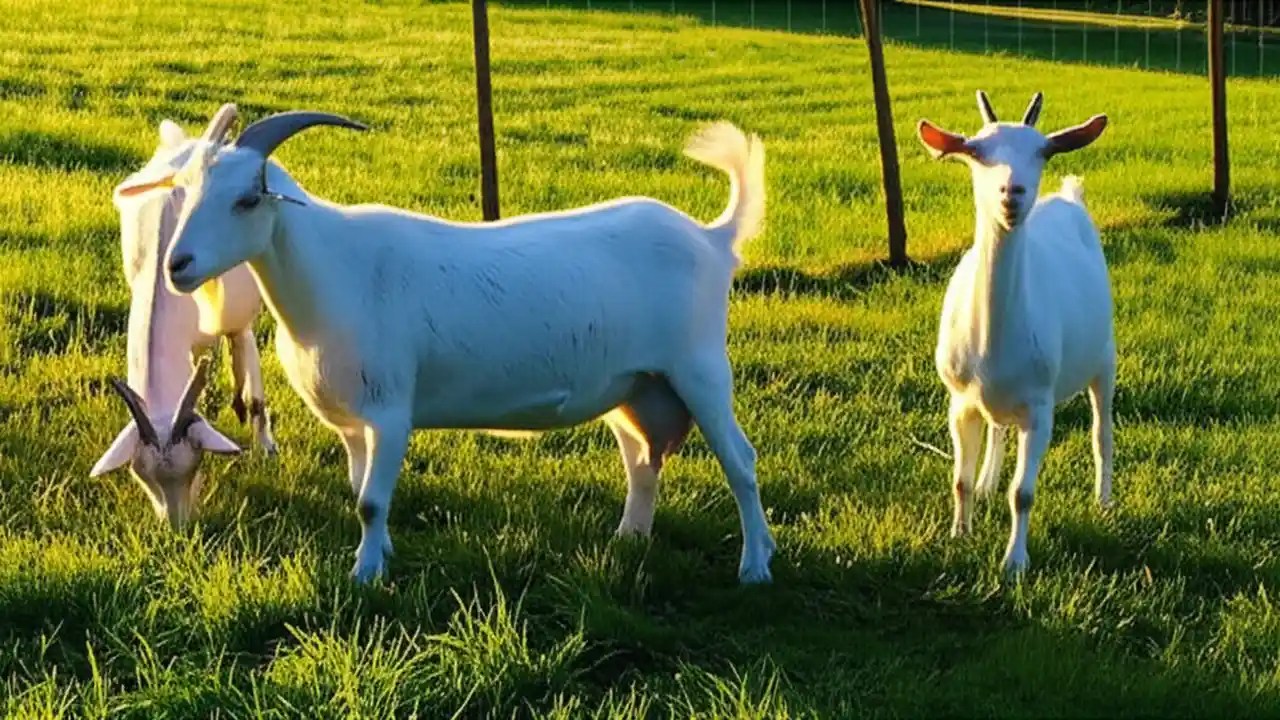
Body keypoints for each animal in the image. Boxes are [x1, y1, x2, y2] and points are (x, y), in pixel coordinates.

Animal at [91, 104, 278, 527]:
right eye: (140, 475)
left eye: (195, 465)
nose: (176, 530)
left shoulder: (240, 317)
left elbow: (252, 377)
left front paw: (266, 446)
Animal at [118, 107, 775, 584]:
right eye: (183, 190)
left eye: (248, 199)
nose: (178, 266)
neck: (335, 269)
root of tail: (713, 239)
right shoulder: (353, 423)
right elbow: (361, 491)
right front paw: (380, 557)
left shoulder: (390, 410)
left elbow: (370, 502)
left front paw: (365, 577)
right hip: (634, 386)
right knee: (642, 462)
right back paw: (630, 539)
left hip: (699, 370)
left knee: (741, 462)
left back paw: (755, 567)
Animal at [918, 91, 1115, 575]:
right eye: (975, 151)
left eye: (1045, 151)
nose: (1012, 193)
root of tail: (1067, 196)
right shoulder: (959, 401)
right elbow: (959, 480)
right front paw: (960, 535)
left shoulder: (1039, 409)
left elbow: (1023, 494)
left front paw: (1014, 562)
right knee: (996, 428)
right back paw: (989, 480)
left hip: (1105, 357)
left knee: (1102, 433)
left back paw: (1104, 503)